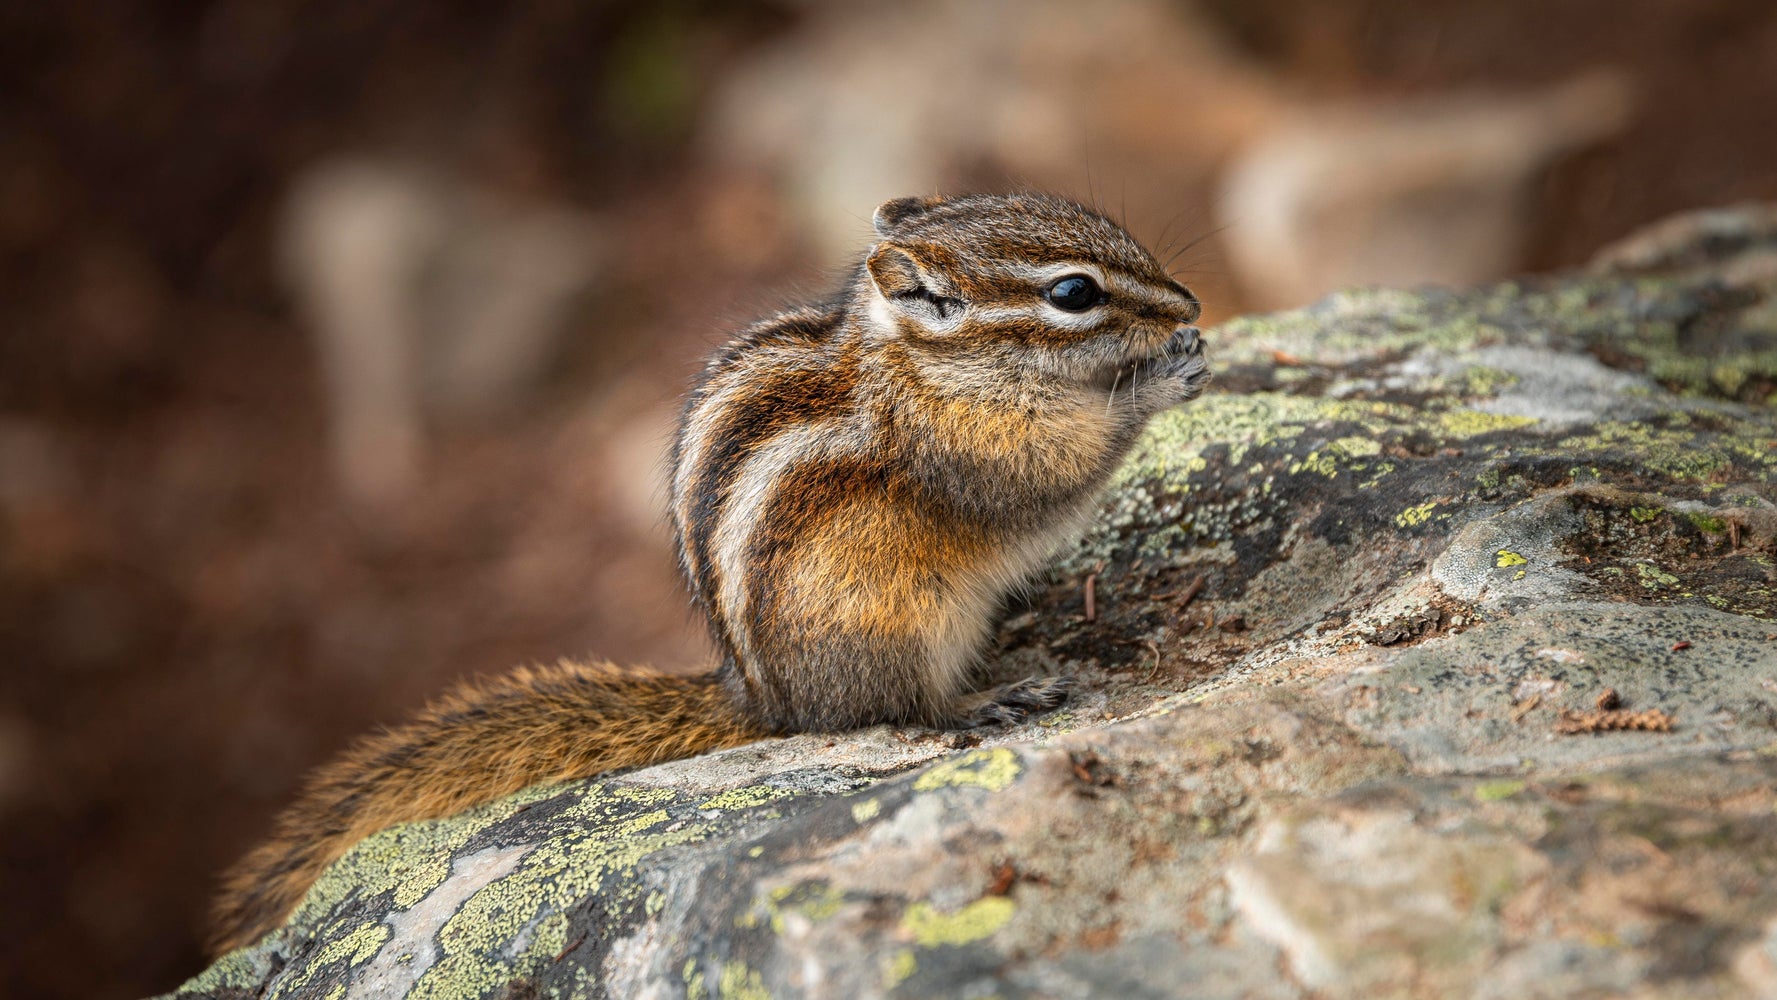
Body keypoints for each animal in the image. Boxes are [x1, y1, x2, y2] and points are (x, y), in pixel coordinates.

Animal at [208, 192, 1209, 954]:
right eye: (1073, 293)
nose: (1189, 305)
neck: (927, 365)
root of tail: (763, 698)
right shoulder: (965, 451)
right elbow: (1051, 477)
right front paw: (1161, 382)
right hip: (894, 621)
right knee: (904, 707)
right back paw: (983, 699)